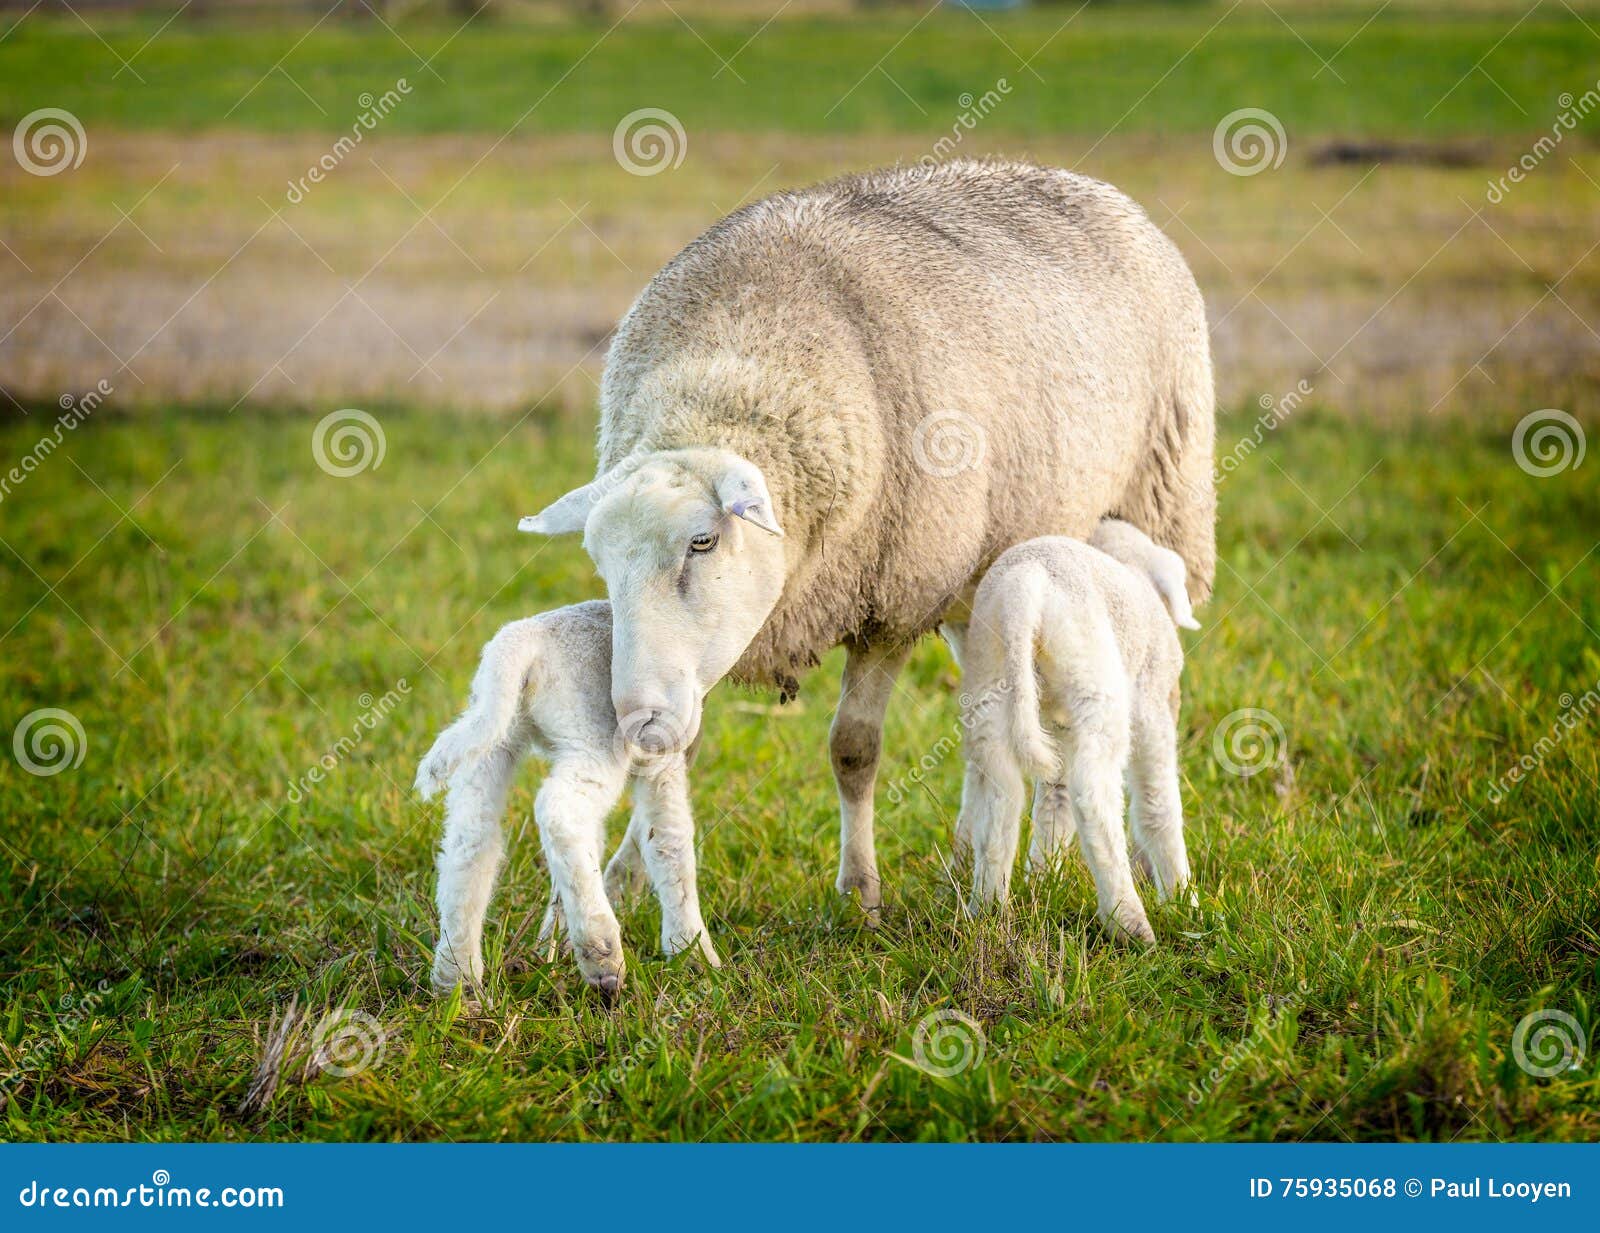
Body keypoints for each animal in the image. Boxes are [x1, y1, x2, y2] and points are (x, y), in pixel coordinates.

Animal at [415, 601, 719, 999]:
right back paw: (601, 953)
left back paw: (457, 978)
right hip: (592, 736)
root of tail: (524, 638)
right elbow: (670, 839)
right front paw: (693, 952)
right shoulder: (660, 757)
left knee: (471, 841)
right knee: (559, 809)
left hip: (493, 733)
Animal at [956, 519, 1197, 944]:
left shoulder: (1059, 725)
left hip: (988, 683)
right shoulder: (1152, 705)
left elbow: (1054, 802)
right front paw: (1184, 900)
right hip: (1095, 684)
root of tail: (1024, 587)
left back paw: (988, 911)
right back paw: (1129, 922)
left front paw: (1042, 879)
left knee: (1003, 798)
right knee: (1093, 796)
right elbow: (1158, 804)